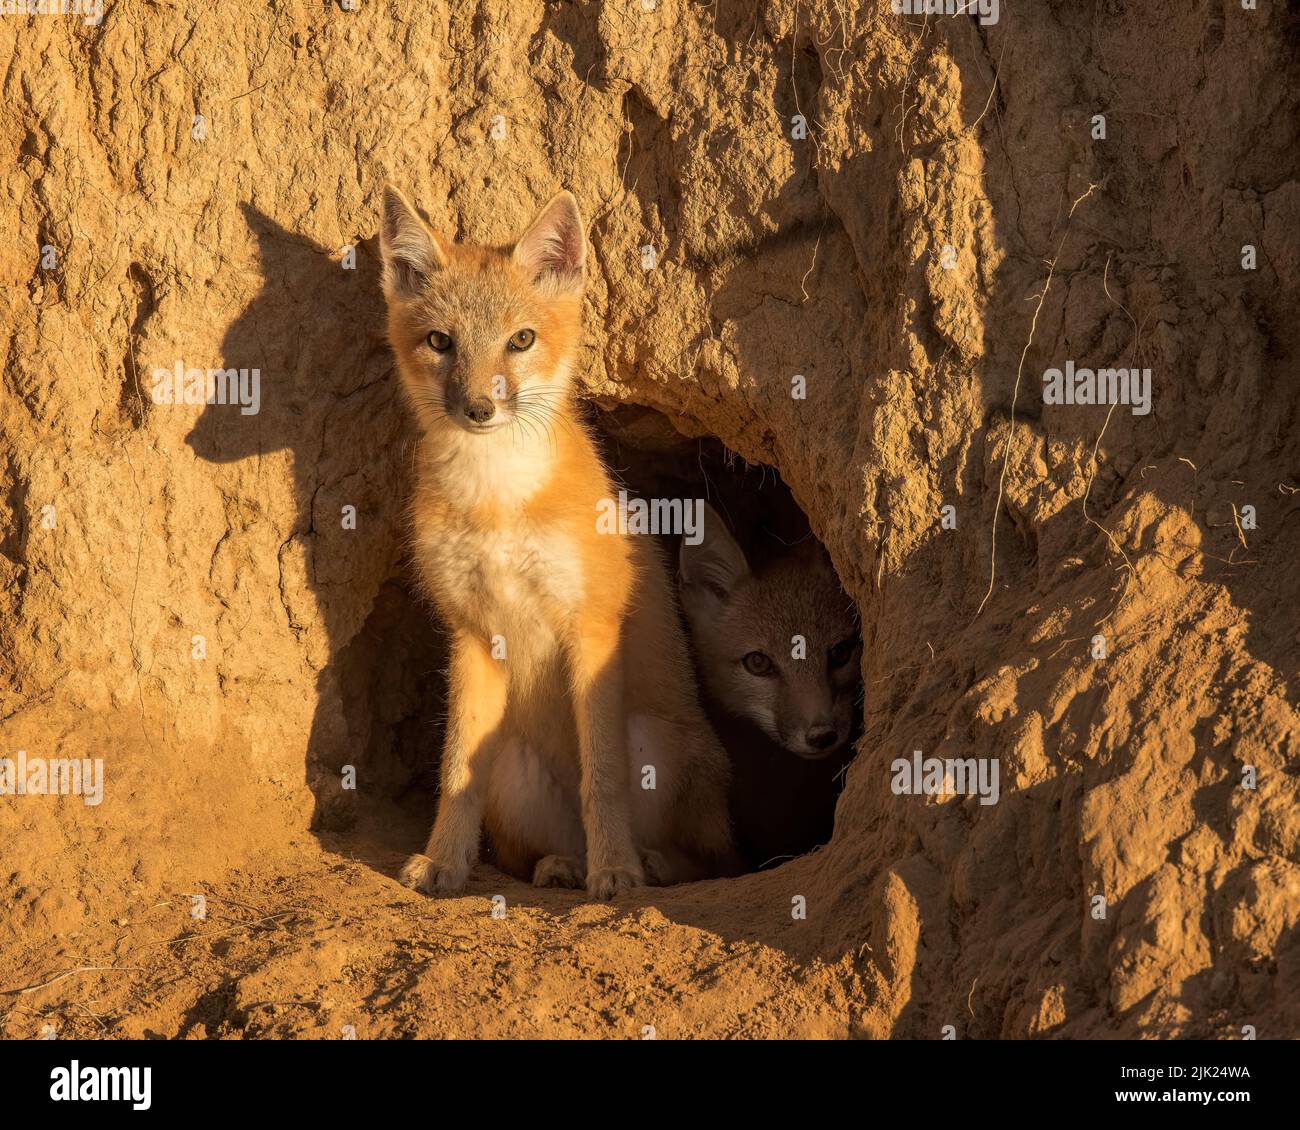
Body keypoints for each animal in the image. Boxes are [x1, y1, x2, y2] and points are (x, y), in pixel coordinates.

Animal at [378, 185, 737, 898]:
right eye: (440, 342)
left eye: (521, 340)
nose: (480, 409)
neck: (496, 502)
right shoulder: (471, 634)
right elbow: (454, 773)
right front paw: (444, 860)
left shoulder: (590, 627)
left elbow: (603, 779)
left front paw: (617, 872)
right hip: (511, 767)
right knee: (535, 842)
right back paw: (568, 863)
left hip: (653, 738)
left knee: (706, 856)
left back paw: (647, 864)